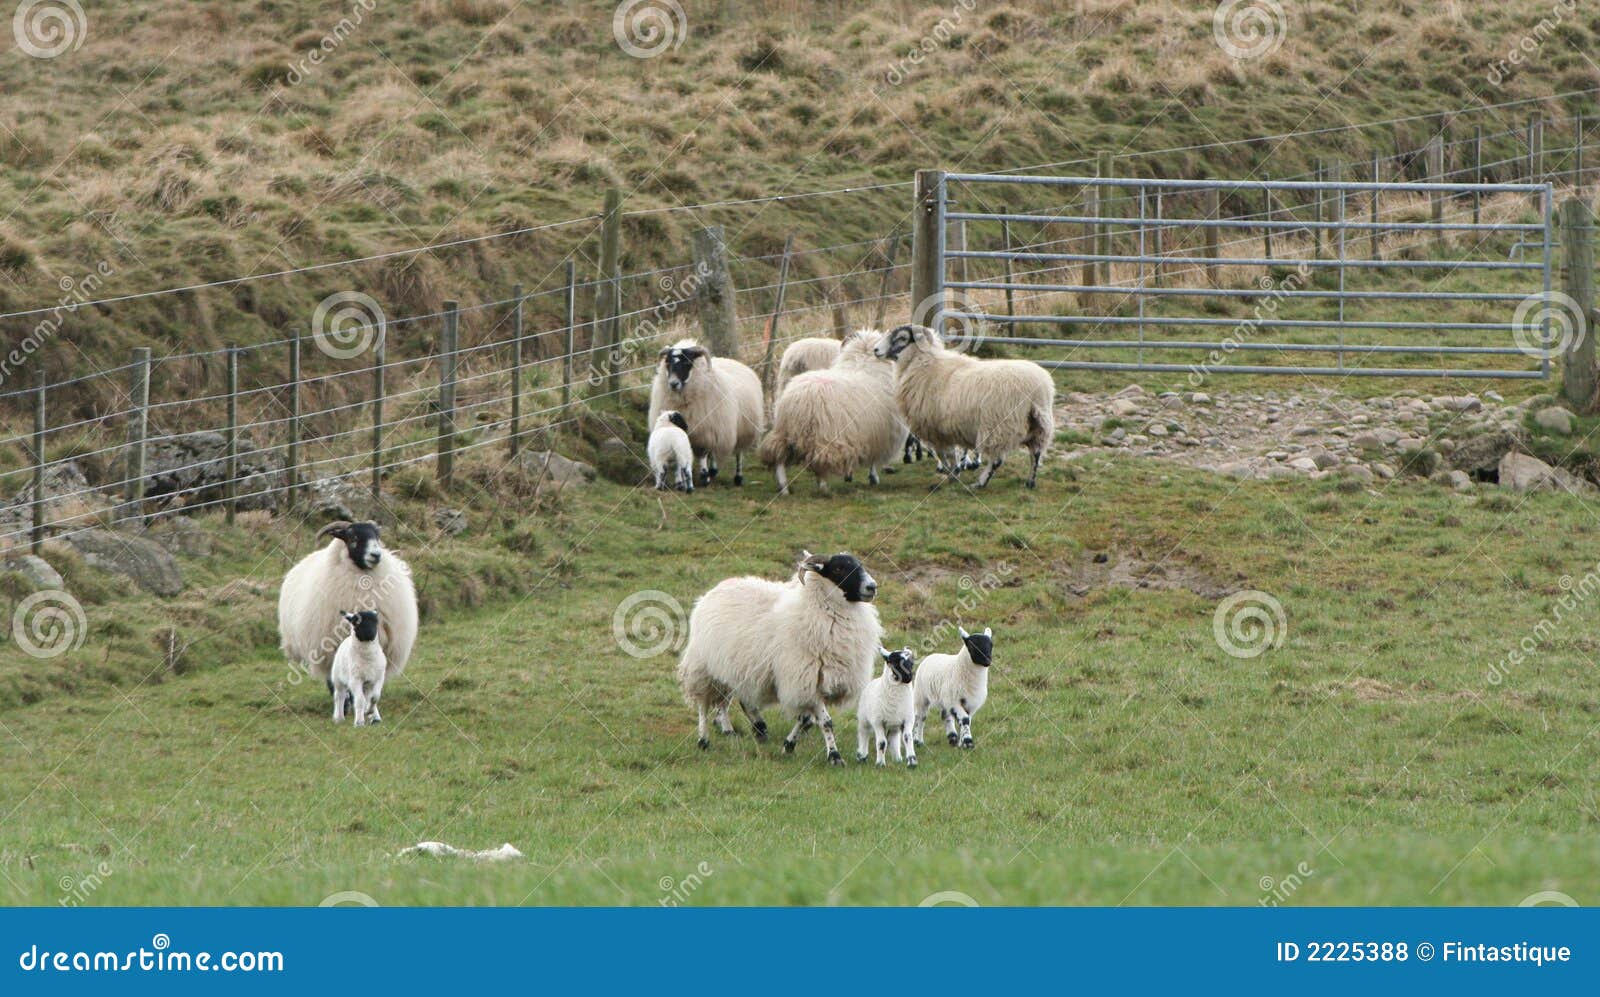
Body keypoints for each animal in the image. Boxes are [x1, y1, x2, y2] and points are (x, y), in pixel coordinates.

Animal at [649, 339, 764, 486]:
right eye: (667, 362)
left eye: (687, 362)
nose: (673, 384)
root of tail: (733, 361)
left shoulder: (704, 431)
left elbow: (703, 454)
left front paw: (704, 477)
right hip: (719, 426)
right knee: (714, 451)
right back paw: (713, 470)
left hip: (742, 430)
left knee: (738, 454)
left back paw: (738, 477)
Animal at [676, 550, 882, 764]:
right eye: (839, 568)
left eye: (859, 564)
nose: (872, 587)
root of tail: (715, 590)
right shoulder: (805, 679)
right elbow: (825, 722)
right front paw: (834, 756)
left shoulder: (809, 683)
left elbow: (806, 720)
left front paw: (788, 745)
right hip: (703, 667)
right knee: (703, 704)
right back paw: (704, 739)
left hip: (734, 667)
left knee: (734, 701)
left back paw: (746, 729)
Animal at [757, 330, 908, 495]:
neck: (865, 363)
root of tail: (796, 400)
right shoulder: (880, 433)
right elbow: (873, 460)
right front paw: (872, 478)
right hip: (825, 437)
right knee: (820, 463)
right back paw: (823, 487)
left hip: (784, 432)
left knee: (778, 457)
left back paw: (783, 487)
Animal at [874, 325, 1055, 488]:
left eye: (902, 338)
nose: (876, 350)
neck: (923, 364)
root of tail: (1038, 389)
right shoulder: (946, 428)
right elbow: (951, 453)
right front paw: (955, 471)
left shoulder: (935, 428)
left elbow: (943, 454)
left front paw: (952, 473)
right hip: (1038, 426)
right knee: (1036, 453)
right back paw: (1030, 482)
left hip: (999, 424)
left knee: (997, 459)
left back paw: (980, 483)